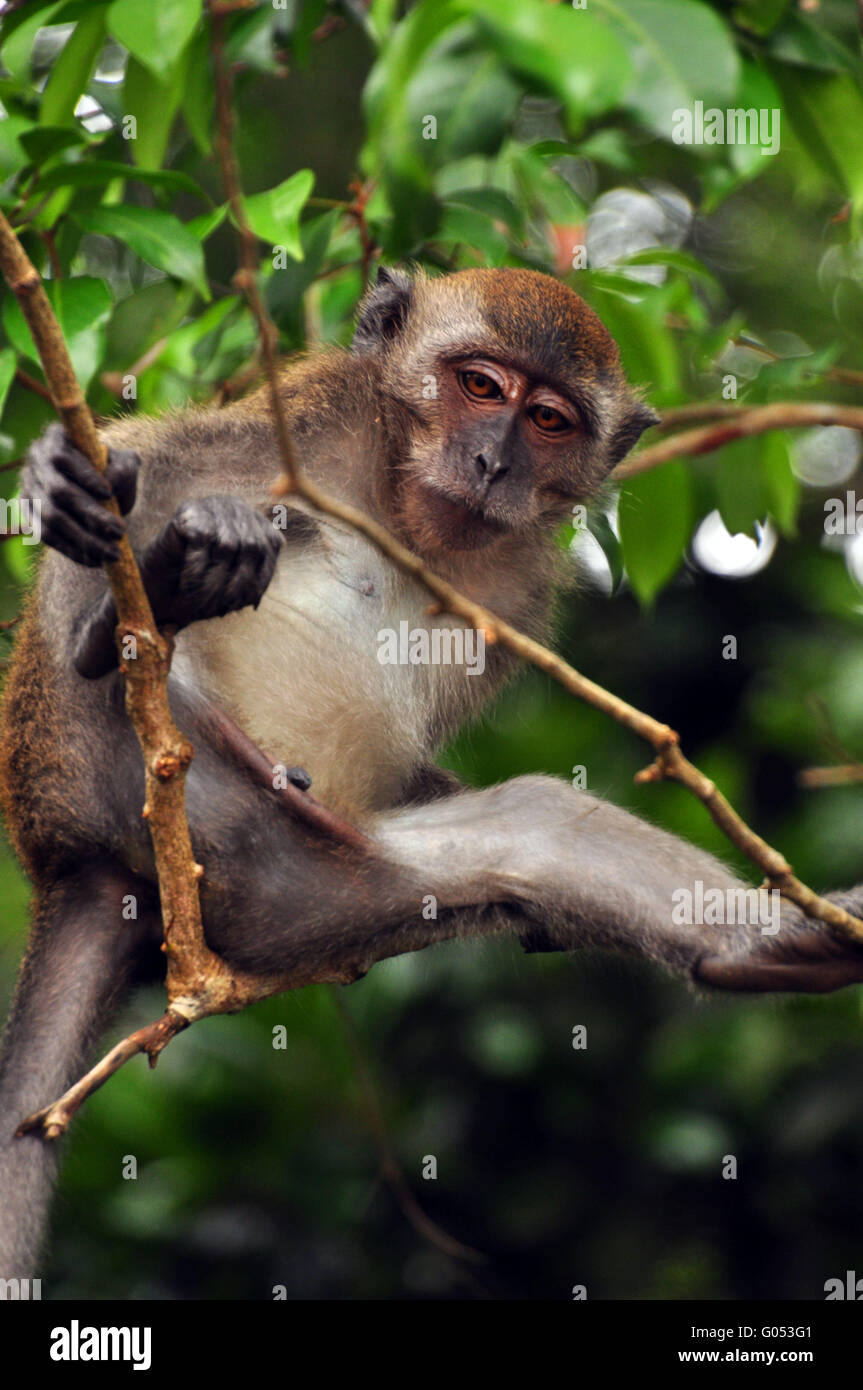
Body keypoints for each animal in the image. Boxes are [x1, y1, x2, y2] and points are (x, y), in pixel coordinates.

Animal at [1, 265, 863, 1280]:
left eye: (549, 421)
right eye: (478, 386)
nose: (492, 463)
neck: (396, 506)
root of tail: (80, 865)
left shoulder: (516, 586)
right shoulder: (310, 415)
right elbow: (155, 458)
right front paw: (66, 478)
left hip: (304, 888)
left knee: (534, 824)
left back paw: (770, 947)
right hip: (128, 767)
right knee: (120, 586)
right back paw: (125, 621)